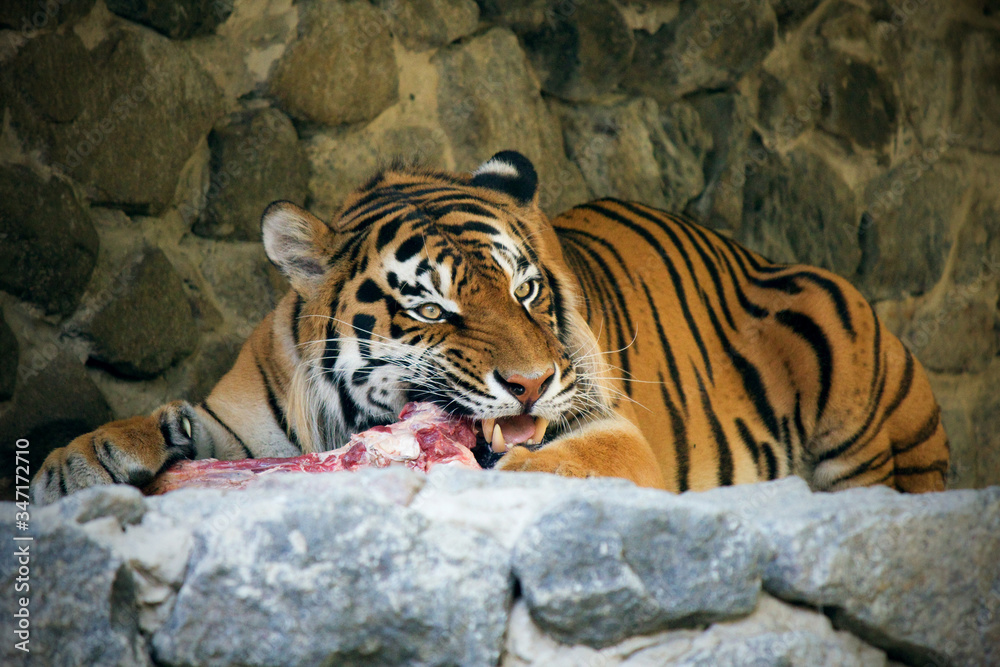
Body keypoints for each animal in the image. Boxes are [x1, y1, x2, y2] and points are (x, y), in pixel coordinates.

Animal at [30, 150, 950, 504]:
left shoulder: (611, 428)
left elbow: (558, 461)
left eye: (528, 290)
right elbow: (154, 421)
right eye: (432, 309)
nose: (532, 382)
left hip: (844, 344)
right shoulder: (242, 424)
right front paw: (79, 459)